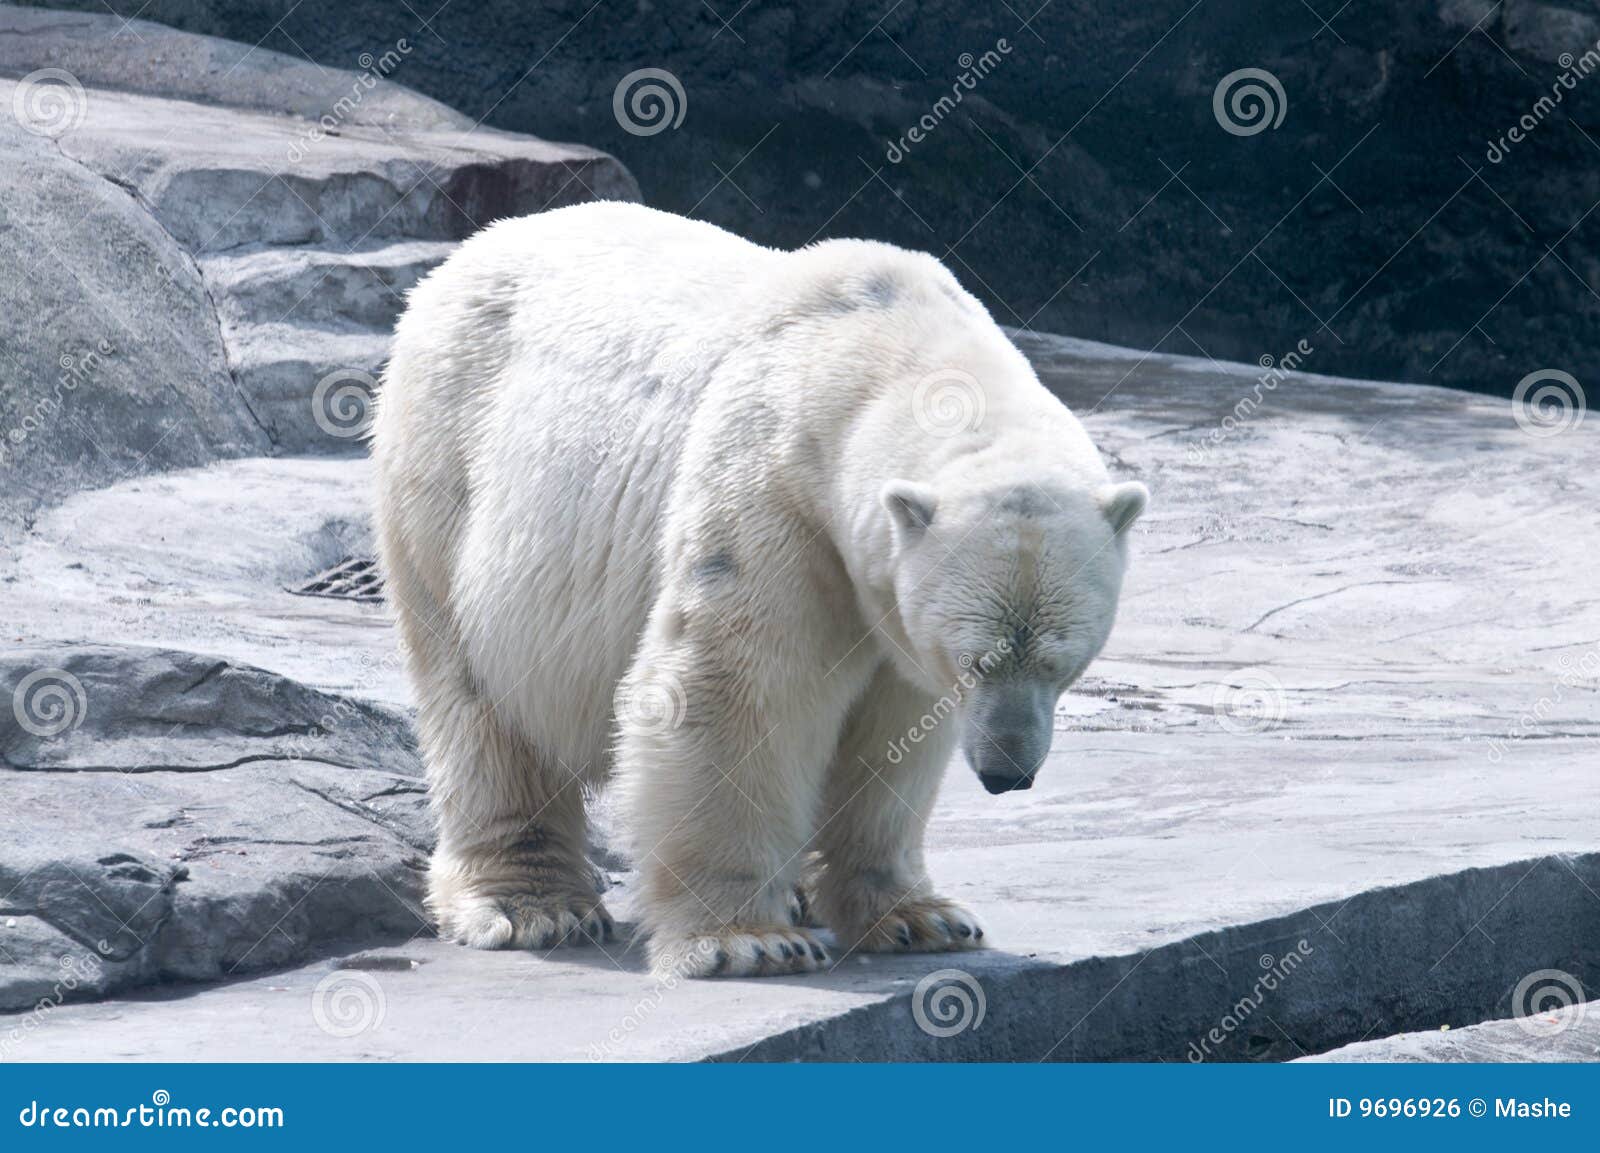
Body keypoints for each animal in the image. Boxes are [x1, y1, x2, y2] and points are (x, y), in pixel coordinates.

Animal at [370, 201, 1146, 978]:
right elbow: (735, 684)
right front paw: (748, 940)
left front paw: (921, 918)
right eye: (976, 661)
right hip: (447, 468)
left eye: (1063, 664)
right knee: (480, 700)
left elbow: (893, 728)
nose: (1007, 772)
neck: (890, 349)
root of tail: (472, 249)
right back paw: (531, 904)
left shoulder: (885, 593)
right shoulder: (776, 486)